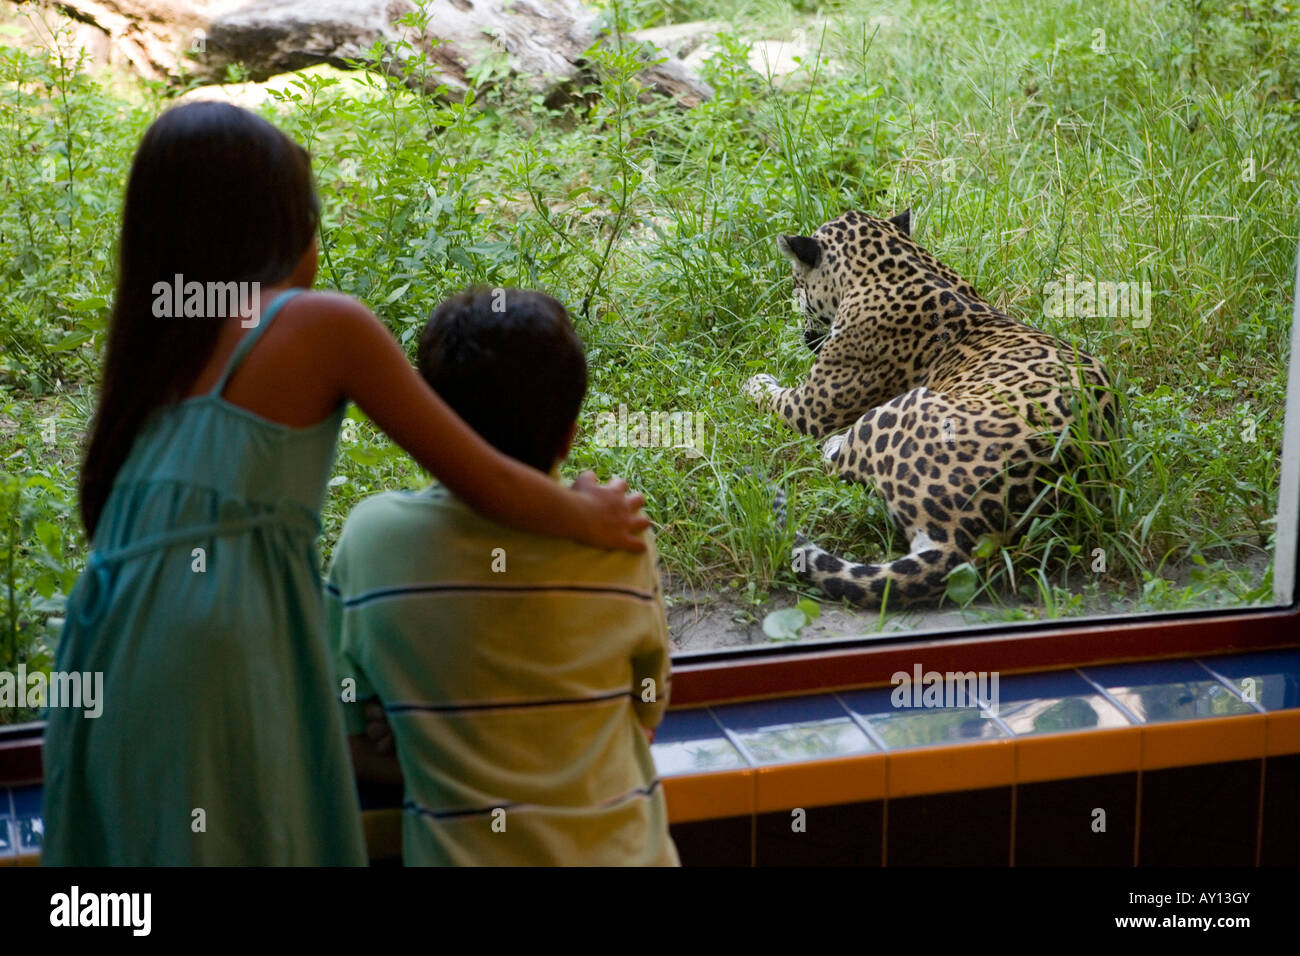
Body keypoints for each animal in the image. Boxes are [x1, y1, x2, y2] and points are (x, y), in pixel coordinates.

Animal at [744, 209, 1117, 607]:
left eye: (796, 285)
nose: (807, 339)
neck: (900, 262)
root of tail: (961, 539)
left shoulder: (810, 408)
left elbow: (766, 394)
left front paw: (753, 381)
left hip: (896, 408)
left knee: (842, 464)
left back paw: (835, 444)